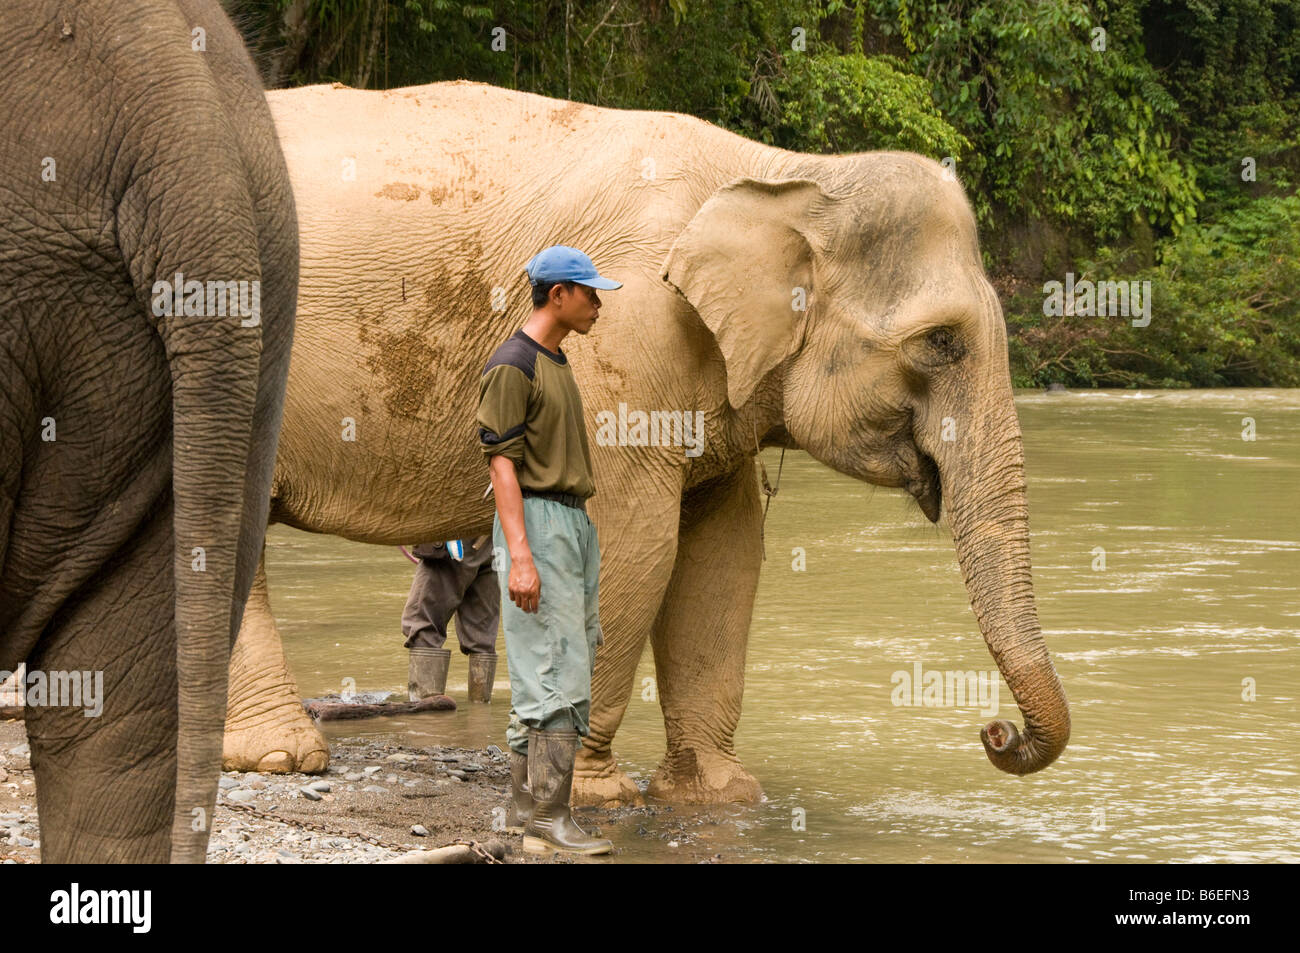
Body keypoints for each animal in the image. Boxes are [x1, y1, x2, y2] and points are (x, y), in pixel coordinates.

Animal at [221, 80, 1069, 807]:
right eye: (940, 342)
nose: (995, 730)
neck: (785, 173)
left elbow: (724, 555)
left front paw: (719, 795)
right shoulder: (625, 339)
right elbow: (638, 543)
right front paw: (594, 792)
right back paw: (281, 756)